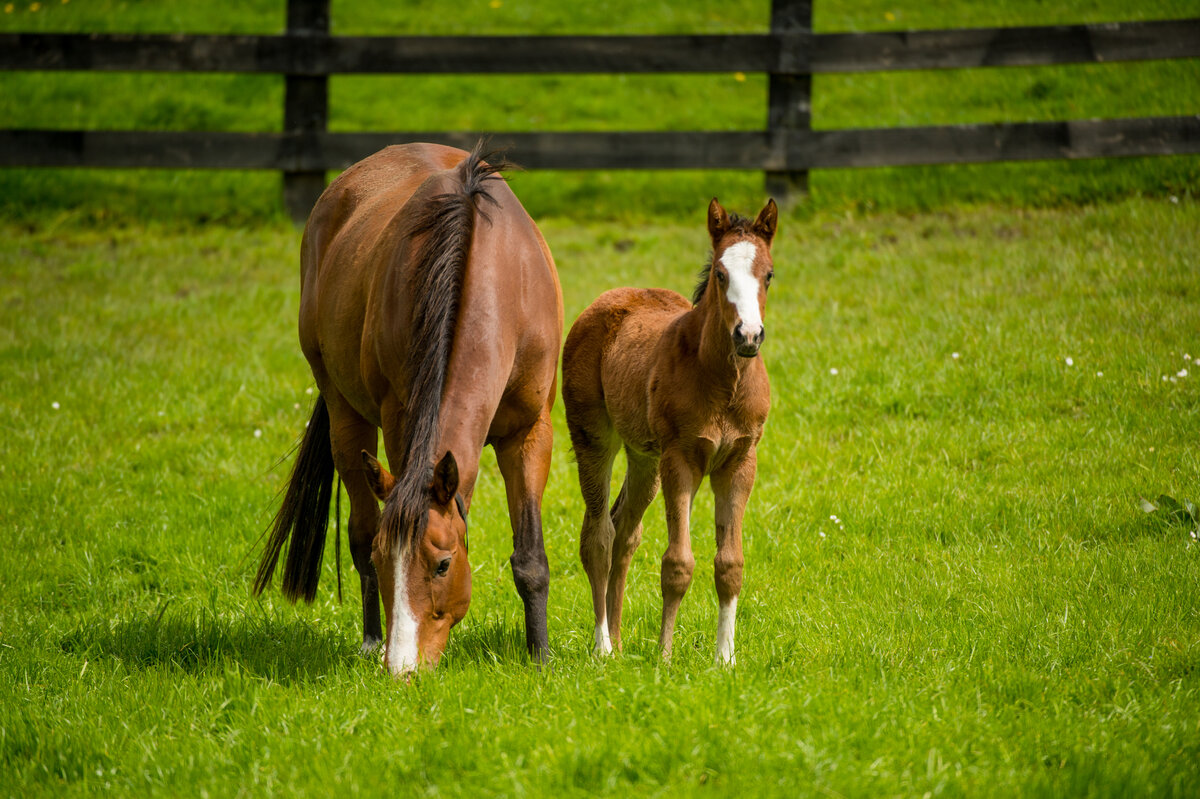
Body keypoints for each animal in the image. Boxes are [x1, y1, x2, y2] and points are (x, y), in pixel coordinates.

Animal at [254, 142, 562, 676]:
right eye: (386, 563)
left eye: (442, 564)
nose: (402, 669)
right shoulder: (401, 423)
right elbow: (369, 536)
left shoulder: (529, 431)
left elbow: (530, 558)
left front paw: (540, 656)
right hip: (344, 415)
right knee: (358, 529)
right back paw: (370, 640)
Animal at [562, 197, 776, 665]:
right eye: (720, 273)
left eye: (769, 274)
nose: (748, 335)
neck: (723, 381)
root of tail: (607, 299)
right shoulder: (681, 458)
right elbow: (677, 563)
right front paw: (664, 657)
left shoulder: (740, 461)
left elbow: (730, 564)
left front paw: (725, 660)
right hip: (594, 437)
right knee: (598, 536)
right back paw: (604, 646)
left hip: (645, 458)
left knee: (625, 533)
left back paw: (619, 639)